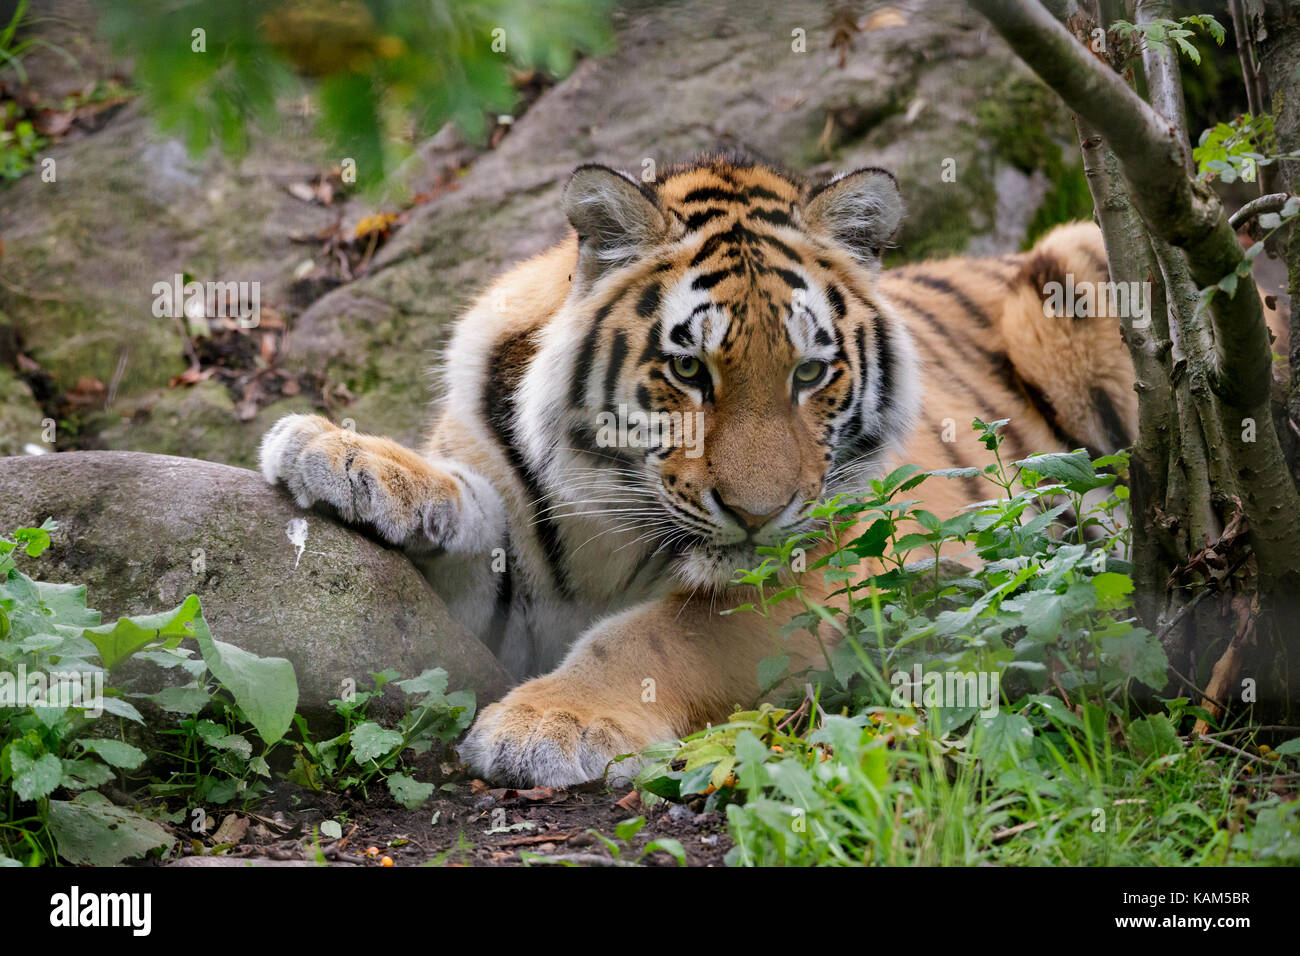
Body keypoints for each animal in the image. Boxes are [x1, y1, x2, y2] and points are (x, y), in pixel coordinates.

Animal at [257, 153, 1137, 787]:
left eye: (810, 374)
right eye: (689, 371)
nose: (759, 512)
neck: (604, 516)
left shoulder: (821, 582)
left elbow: (655, 635)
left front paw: (548, 724)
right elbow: (462, 523)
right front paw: (341, 455)